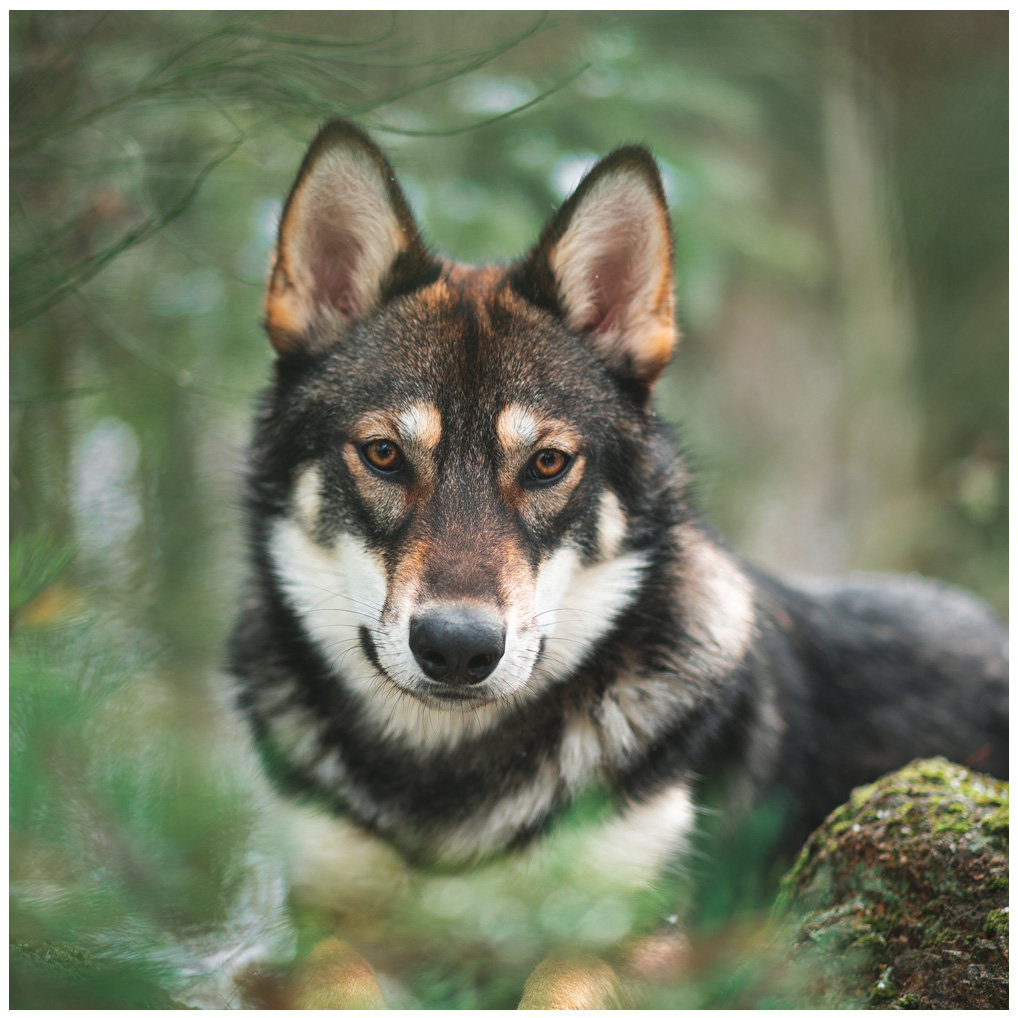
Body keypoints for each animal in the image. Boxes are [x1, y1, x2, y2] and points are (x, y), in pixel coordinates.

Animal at [228, 120, 1007, 1007]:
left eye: (546, 464)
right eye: (385, 455)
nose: (458, 648)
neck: (451, 787)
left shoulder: (652, 939)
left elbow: (558, 984)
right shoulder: (326, 918)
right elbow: (336, 979)